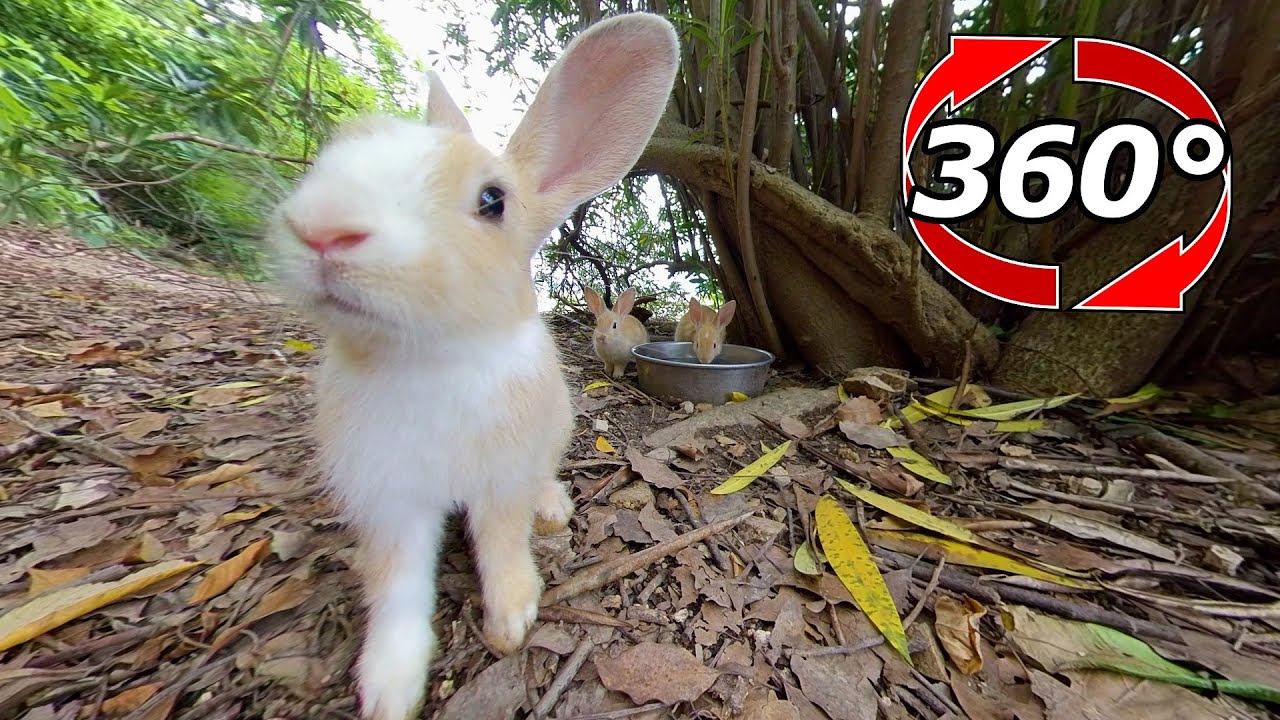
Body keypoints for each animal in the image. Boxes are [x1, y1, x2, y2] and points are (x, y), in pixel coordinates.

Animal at [263, 13, 679, 720]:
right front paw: (388, 690)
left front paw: (511, 621)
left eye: (492, 201)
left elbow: (502, 544)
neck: (428, 355)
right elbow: (398, 585)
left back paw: (553, 506)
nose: (321, 228)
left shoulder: (499, 480)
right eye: (334, 152)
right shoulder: (388, 498)